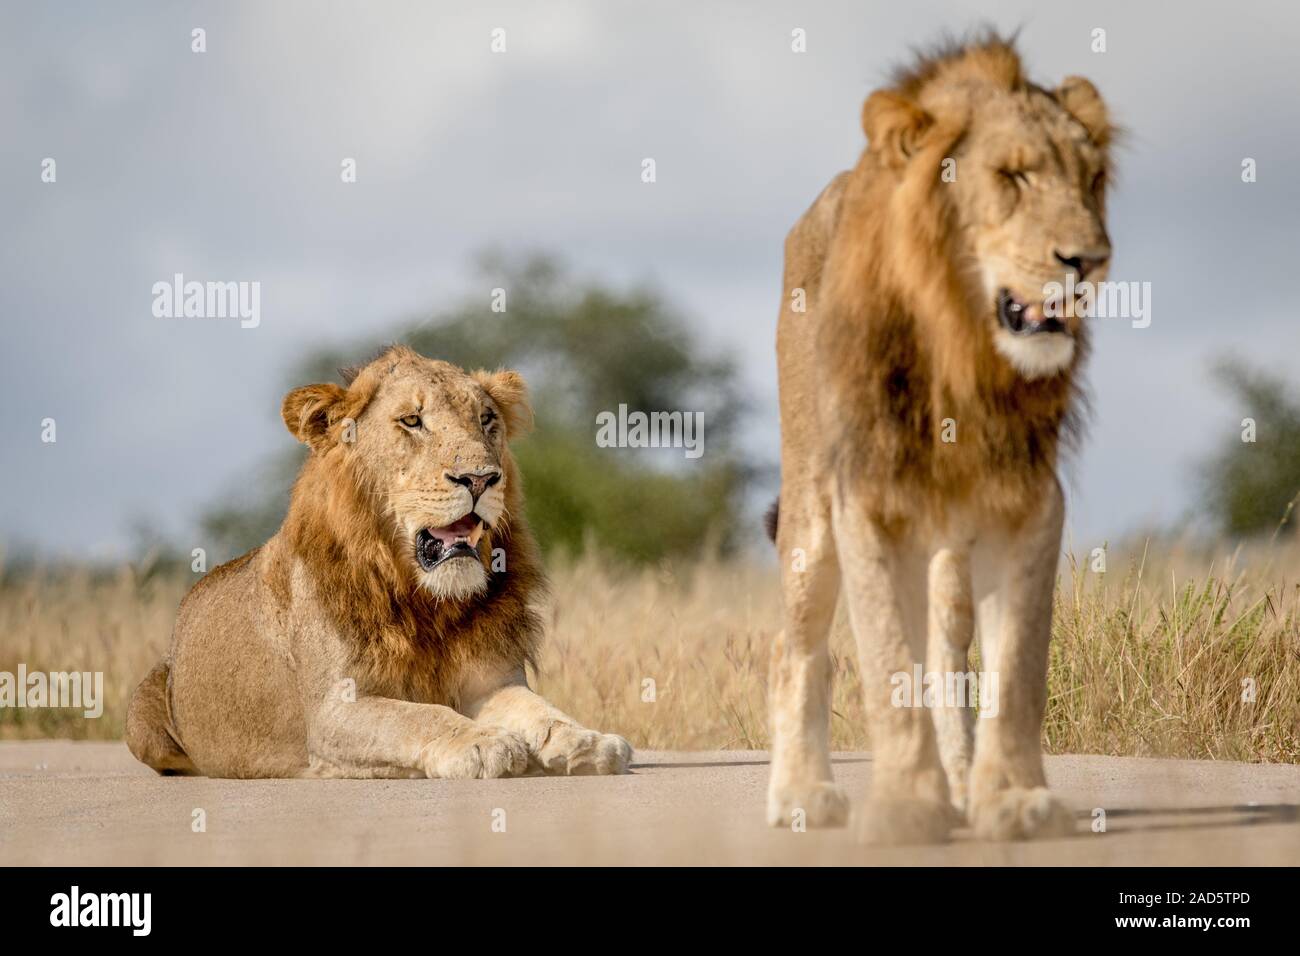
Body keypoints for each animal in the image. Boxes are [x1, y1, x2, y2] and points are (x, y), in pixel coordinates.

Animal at [126, 345, 632, 780]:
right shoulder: (334, 711)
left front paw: (589, 742)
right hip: (141, 714)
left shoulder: (492, 680)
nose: (481, 478)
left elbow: (543, 712)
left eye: (486, 419)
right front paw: (481, 741)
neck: (427, 600)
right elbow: (419, 717)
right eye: (412, 421)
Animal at [766, 34, 1113, 843]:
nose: (1088, 260)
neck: (963, 347)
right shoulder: (864, 500)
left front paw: (1010, 799)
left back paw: (958, 779)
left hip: (948, 545)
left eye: (1091, 180)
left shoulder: (1030, 501)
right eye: (1012, 177)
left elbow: (1015, 670)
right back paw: (801, 793)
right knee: (799, 649)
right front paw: (907, 806)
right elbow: (887, 662)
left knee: (948, 652)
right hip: (810, 507)